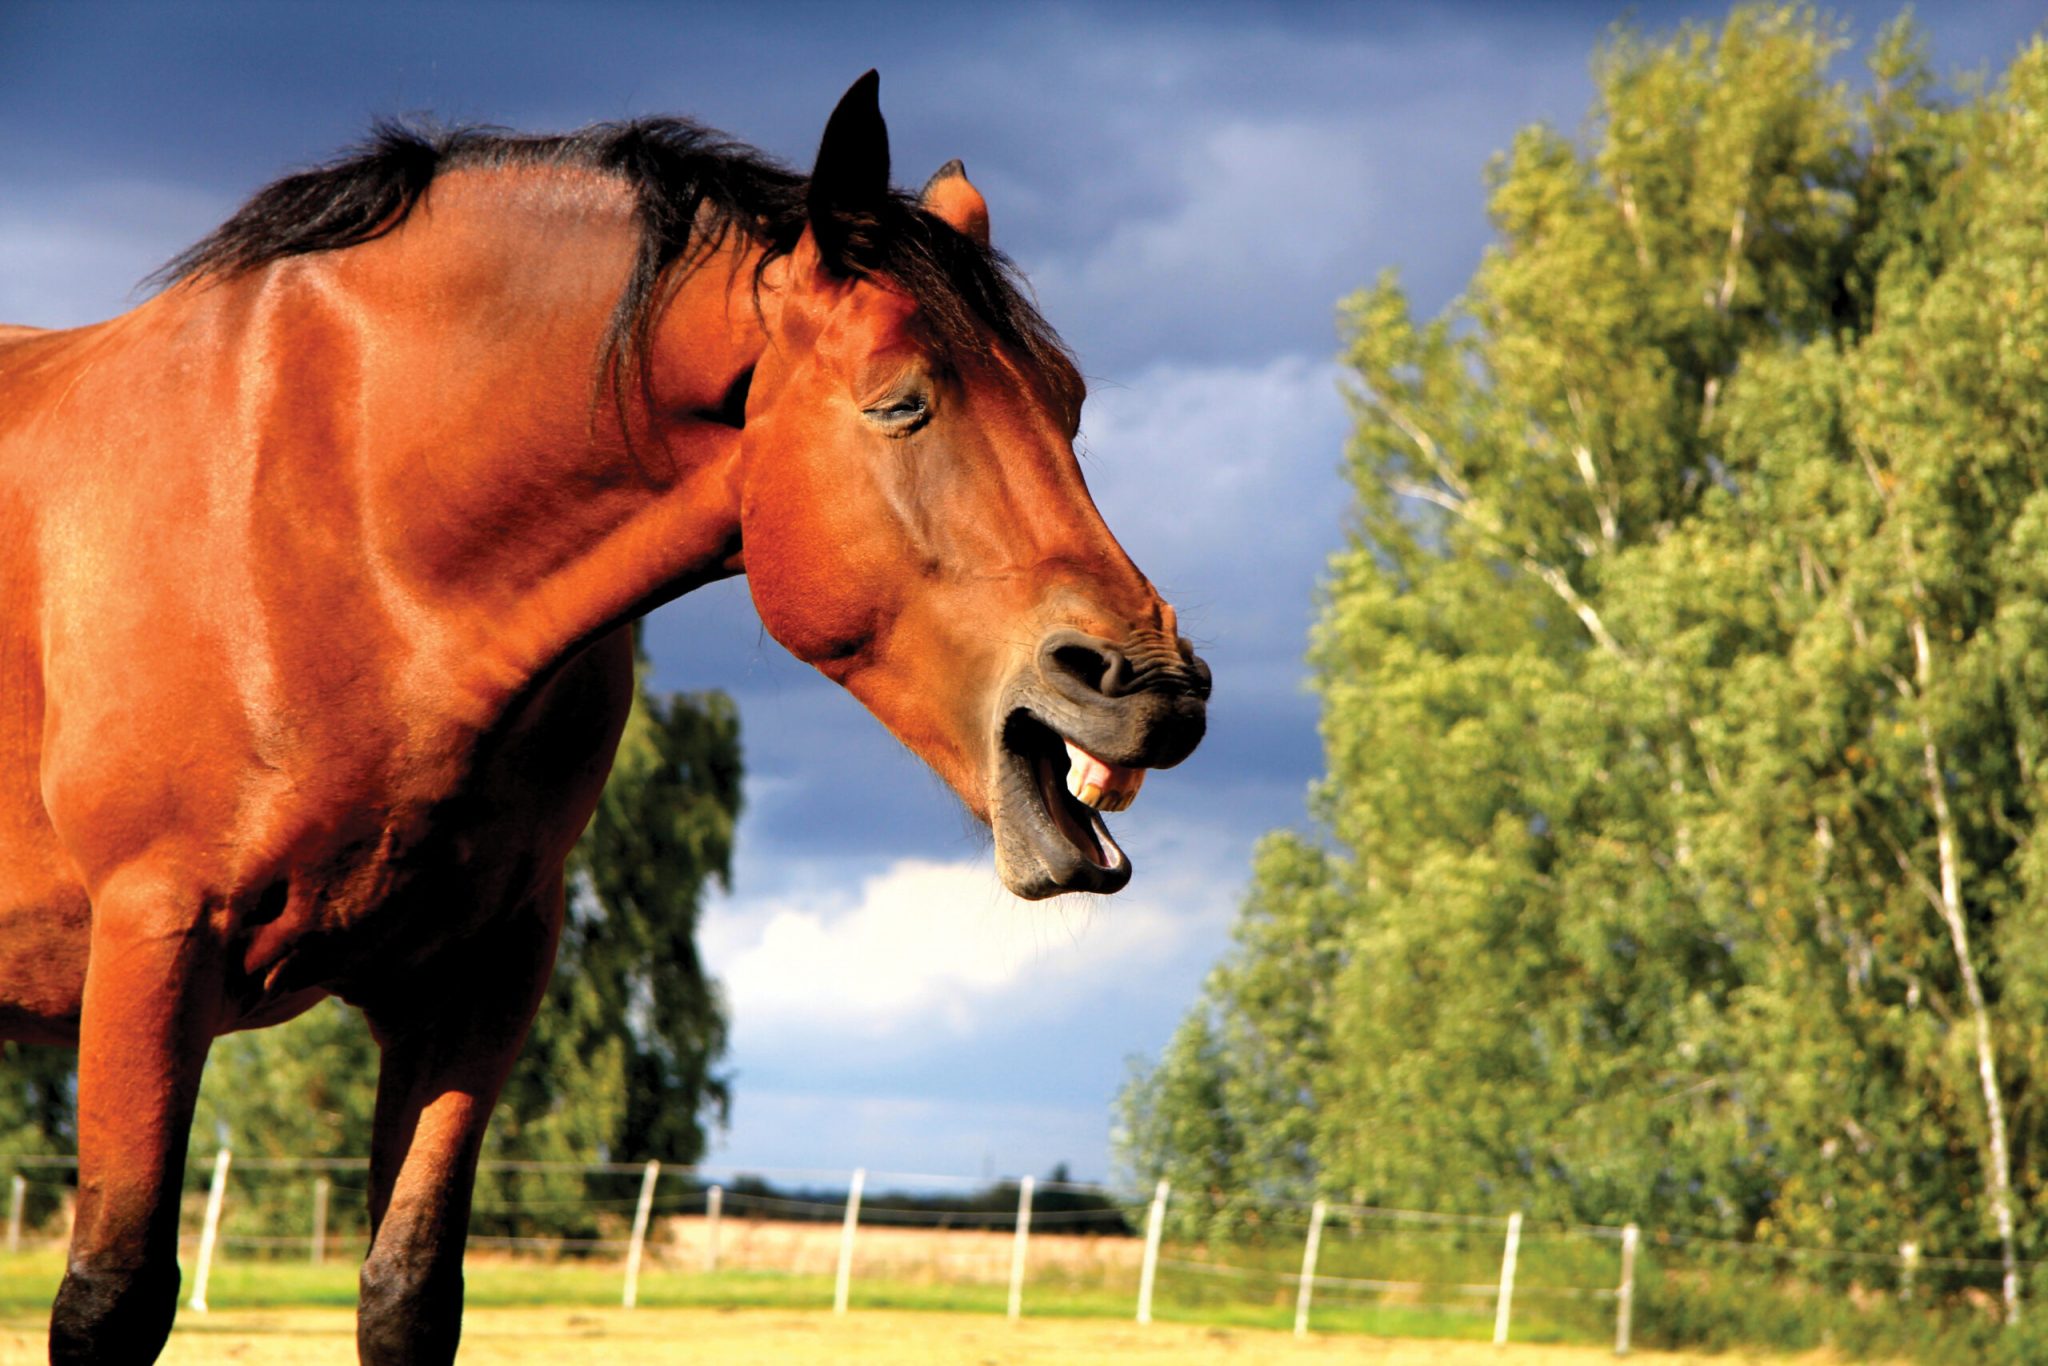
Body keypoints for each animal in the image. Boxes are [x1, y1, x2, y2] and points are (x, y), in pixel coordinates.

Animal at [0, 72, 1208, 1363]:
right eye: (900, 403)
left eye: (1068, 401)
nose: (1151, 686)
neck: (336, 521)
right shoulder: (154, 946)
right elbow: (113, 1292)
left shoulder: (475, 981)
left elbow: (408, 1288)